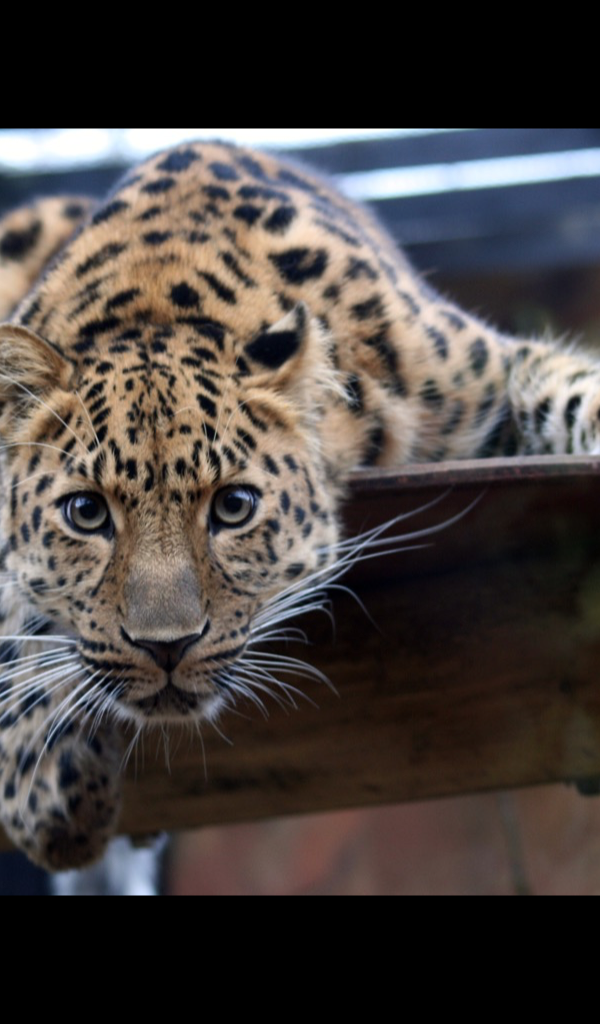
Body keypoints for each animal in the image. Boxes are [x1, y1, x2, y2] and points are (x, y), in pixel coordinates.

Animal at [0, 139, 599, 872]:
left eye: (233, 507)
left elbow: (568, 391)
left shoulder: (490, 371)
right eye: (86, 513)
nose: (166, 647)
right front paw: (47, 784)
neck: (157, 299)